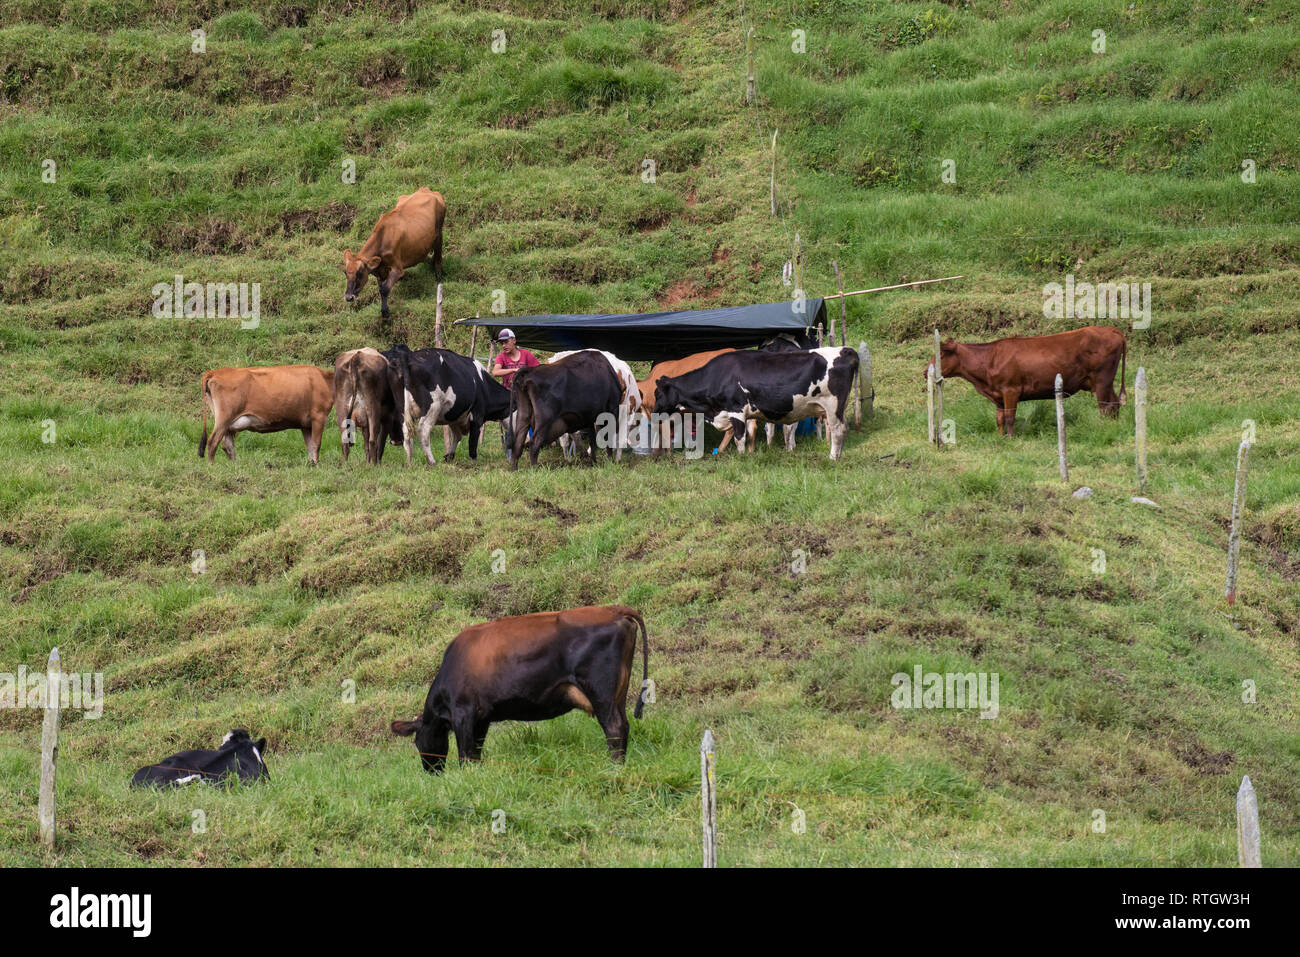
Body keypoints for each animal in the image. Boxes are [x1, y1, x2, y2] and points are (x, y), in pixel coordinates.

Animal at [199, 365, 334, 464]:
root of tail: (215, 372)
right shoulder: (319, 416)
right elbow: (316, 444)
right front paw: (316, 466)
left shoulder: (305, 424)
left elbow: (310, 446)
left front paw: (312, 465)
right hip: (224, 418)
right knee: (213, 441)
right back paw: (211, 466)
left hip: (225, 422)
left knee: (227, 444)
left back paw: (234, 465)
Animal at [342, 187, 446, 319]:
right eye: (345, 272)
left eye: (360, 273)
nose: (348, 297)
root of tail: (426, 189)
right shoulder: (380, 270)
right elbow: (381, 289)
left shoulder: (397, 268)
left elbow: (385, 289)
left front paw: (385, 312)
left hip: (439, 232)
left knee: (438, 256)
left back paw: (438, 276)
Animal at [390, 606, 650, 771]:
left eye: (417, 742)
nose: (431, 771)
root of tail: (612, 609)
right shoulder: (482, 718)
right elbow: (475, 752)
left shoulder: (463, 711)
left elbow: (465, 753)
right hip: (618, 692)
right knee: (623, 726)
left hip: (601, 691)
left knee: (614, 727)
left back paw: (614, 768)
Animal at [653, 346, 859, 460]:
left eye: (657, 393)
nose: (654, 412)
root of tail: (846, 350)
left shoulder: (736, 409)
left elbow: (739, 438)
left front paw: (741, 458)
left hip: (833, 406)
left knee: (838, 430)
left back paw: (833, 458)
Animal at [928, 325, 1127, 436]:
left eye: (942, 354)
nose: (924, 371)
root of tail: (1111, 329)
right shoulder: (998, 395)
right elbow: (999, 419)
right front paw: (1000, 437)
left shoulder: (1011, 390)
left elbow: (1009, 417)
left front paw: (1010, 438)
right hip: (1106, 382)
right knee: (1115, 403)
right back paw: (1114, 427)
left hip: (1102, 380)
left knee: (1105, 407)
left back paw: (1102, 429)